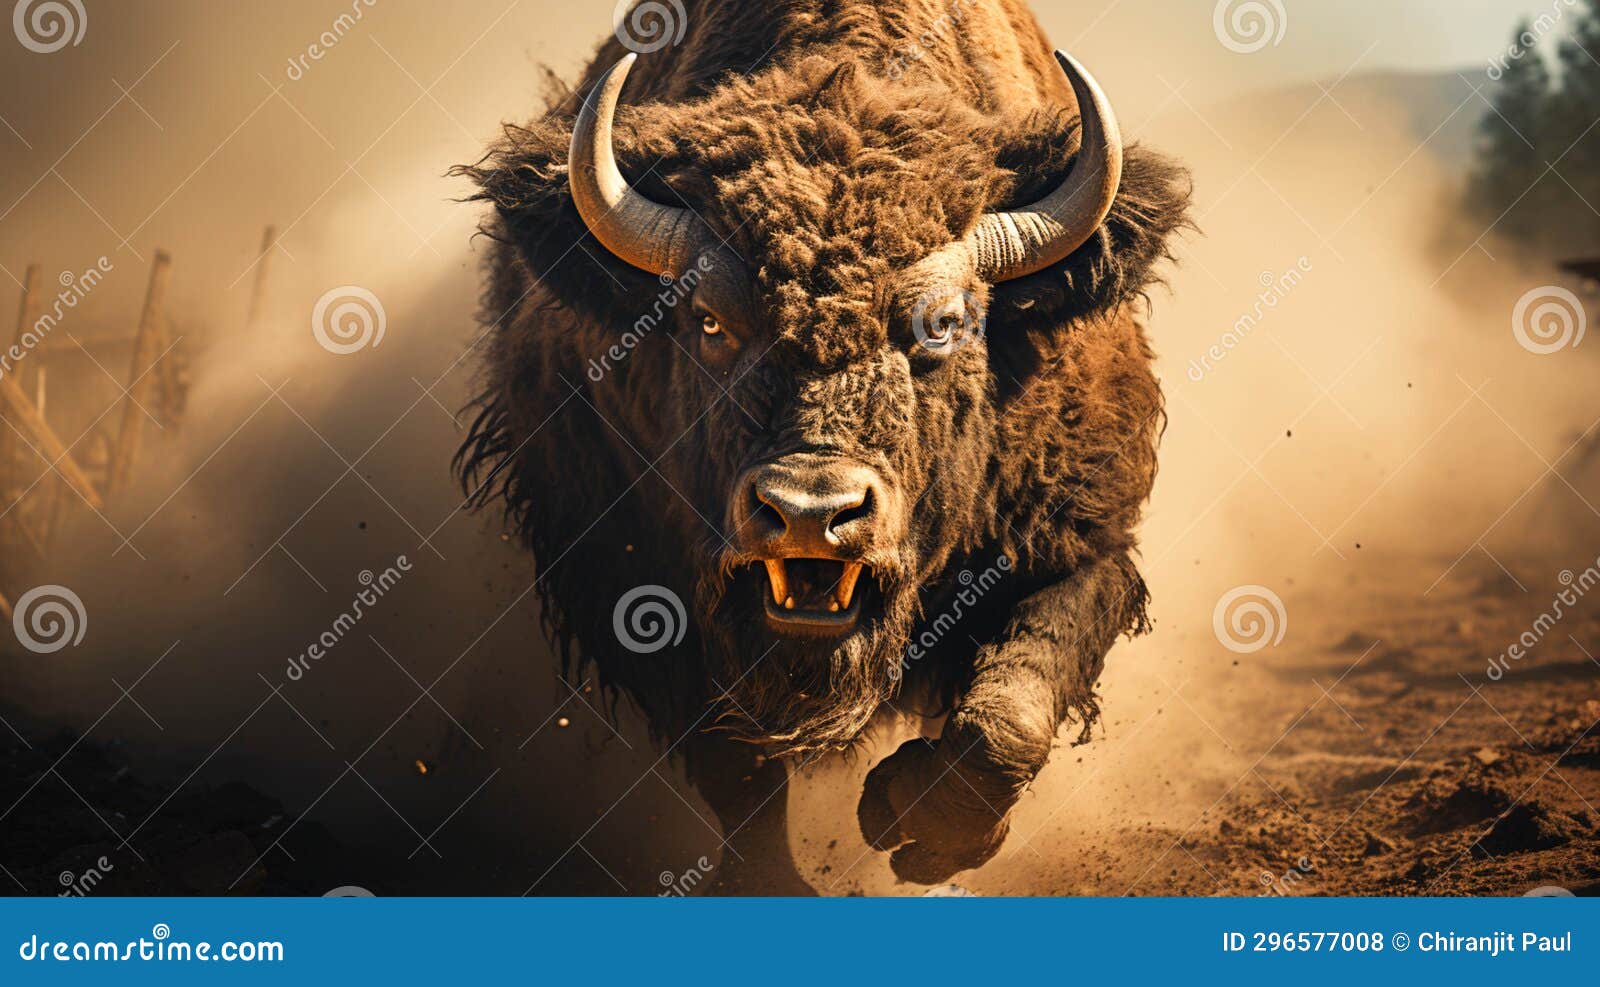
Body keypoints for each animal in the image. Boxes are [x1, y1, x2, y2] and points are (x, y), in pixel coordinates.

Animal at [455, 0, 1191, 891]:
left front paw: (920, 830)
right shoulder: (629, 581)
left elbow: (1009, 709)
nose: (811, 511)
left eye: (945, 323)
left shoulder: (1077, 546)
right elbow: (738, 768)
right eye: (709, 322)